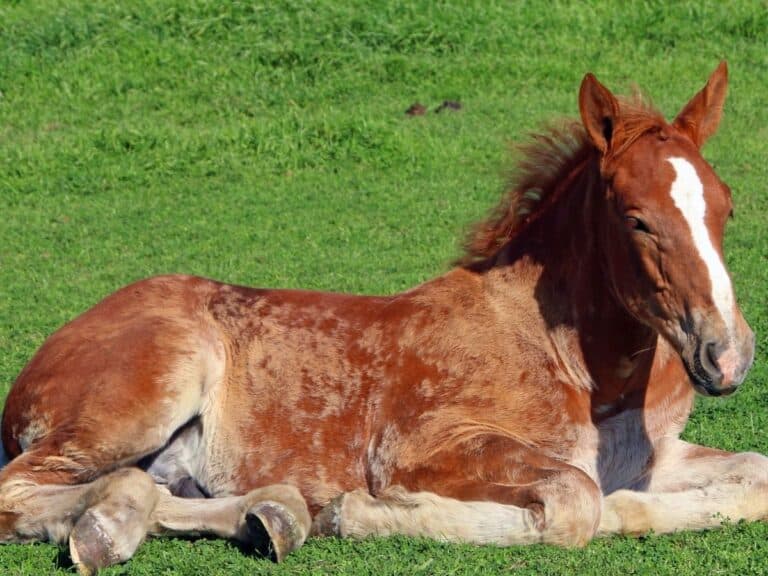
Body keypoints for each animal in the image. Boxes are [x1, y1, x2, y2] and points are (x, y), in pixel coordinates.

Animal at [1, 61, 763, 574]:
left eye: (727, 206)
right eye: (636, 219)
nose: (726, 355)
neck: (580, 368)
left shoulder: (654, 457)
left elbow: (750, 476)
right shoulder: (420, 448)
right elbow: (576, 502)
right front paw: (365, 512)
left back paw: (269, 518)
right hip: (141, 401)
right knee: (29, 489)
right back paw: (110, 529)